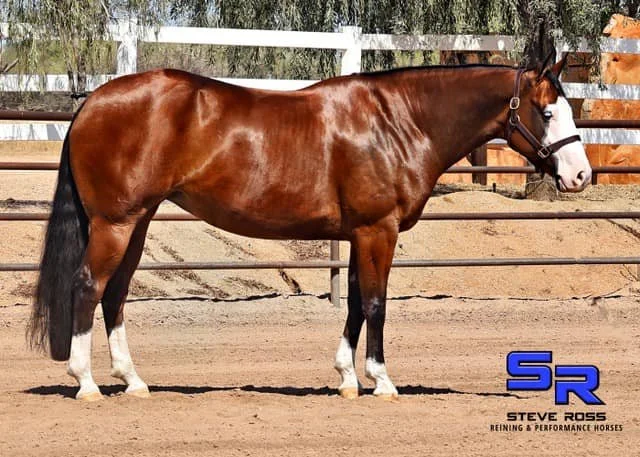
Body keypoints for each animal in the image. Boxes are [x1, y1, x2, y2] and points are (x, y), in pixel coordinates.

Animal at [27, 54, 591, 401]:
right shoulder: (378, 230)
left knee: (116, 293)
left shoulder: (361, 234)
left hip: (136, 223)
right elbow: (375, 303)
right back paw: (86, 383)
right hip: (115, 223)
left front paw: (346, 379)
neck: (397, 121)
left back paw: (133, 380)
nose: (581, 176)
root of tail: (92, 102)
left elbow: (355, 303)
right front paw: (381, 381)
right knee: (88, 286)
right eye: (546, 112)